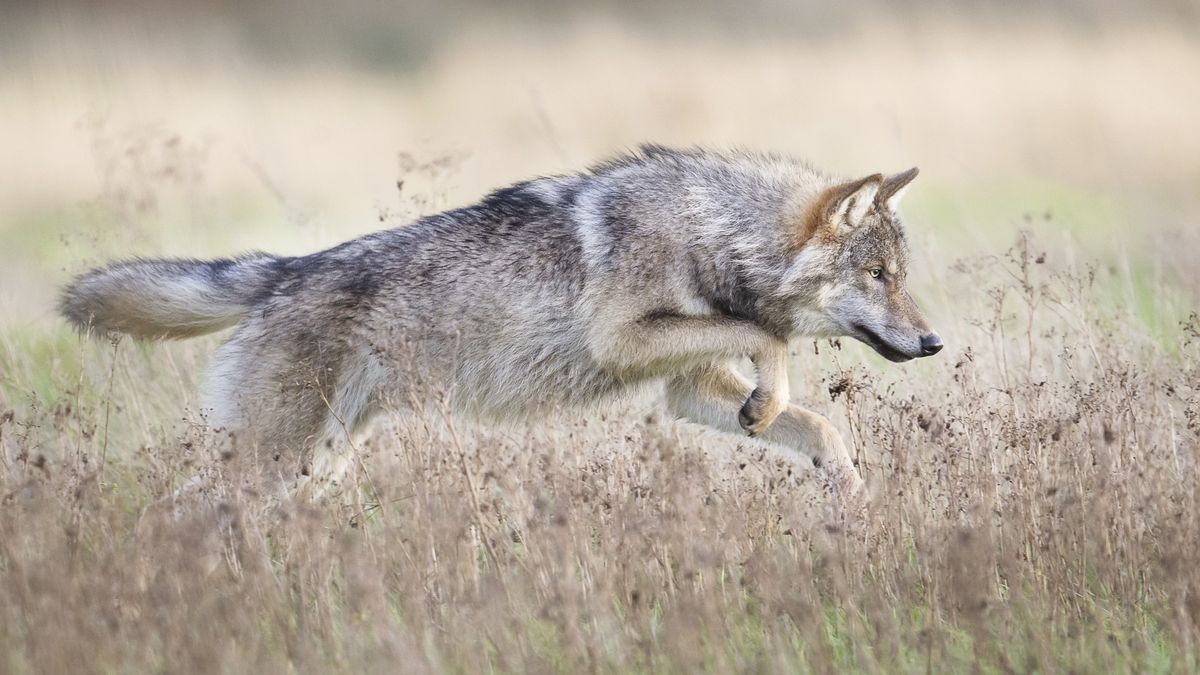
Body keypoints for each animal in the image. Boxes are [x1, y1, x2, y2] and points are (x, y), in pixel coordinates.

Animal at [60, 146, 942, 498]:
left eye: (902, 279)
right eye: (880, 277)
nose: (934, 342)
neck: (714, 230)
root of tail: (282, 270)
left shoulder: (685, 390)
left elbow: (818, 425)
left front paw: (850, 495)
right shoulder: (622, 337)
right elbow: (765, 336)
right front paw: (771, 393)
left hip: (315, 464)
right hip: (274, 462)